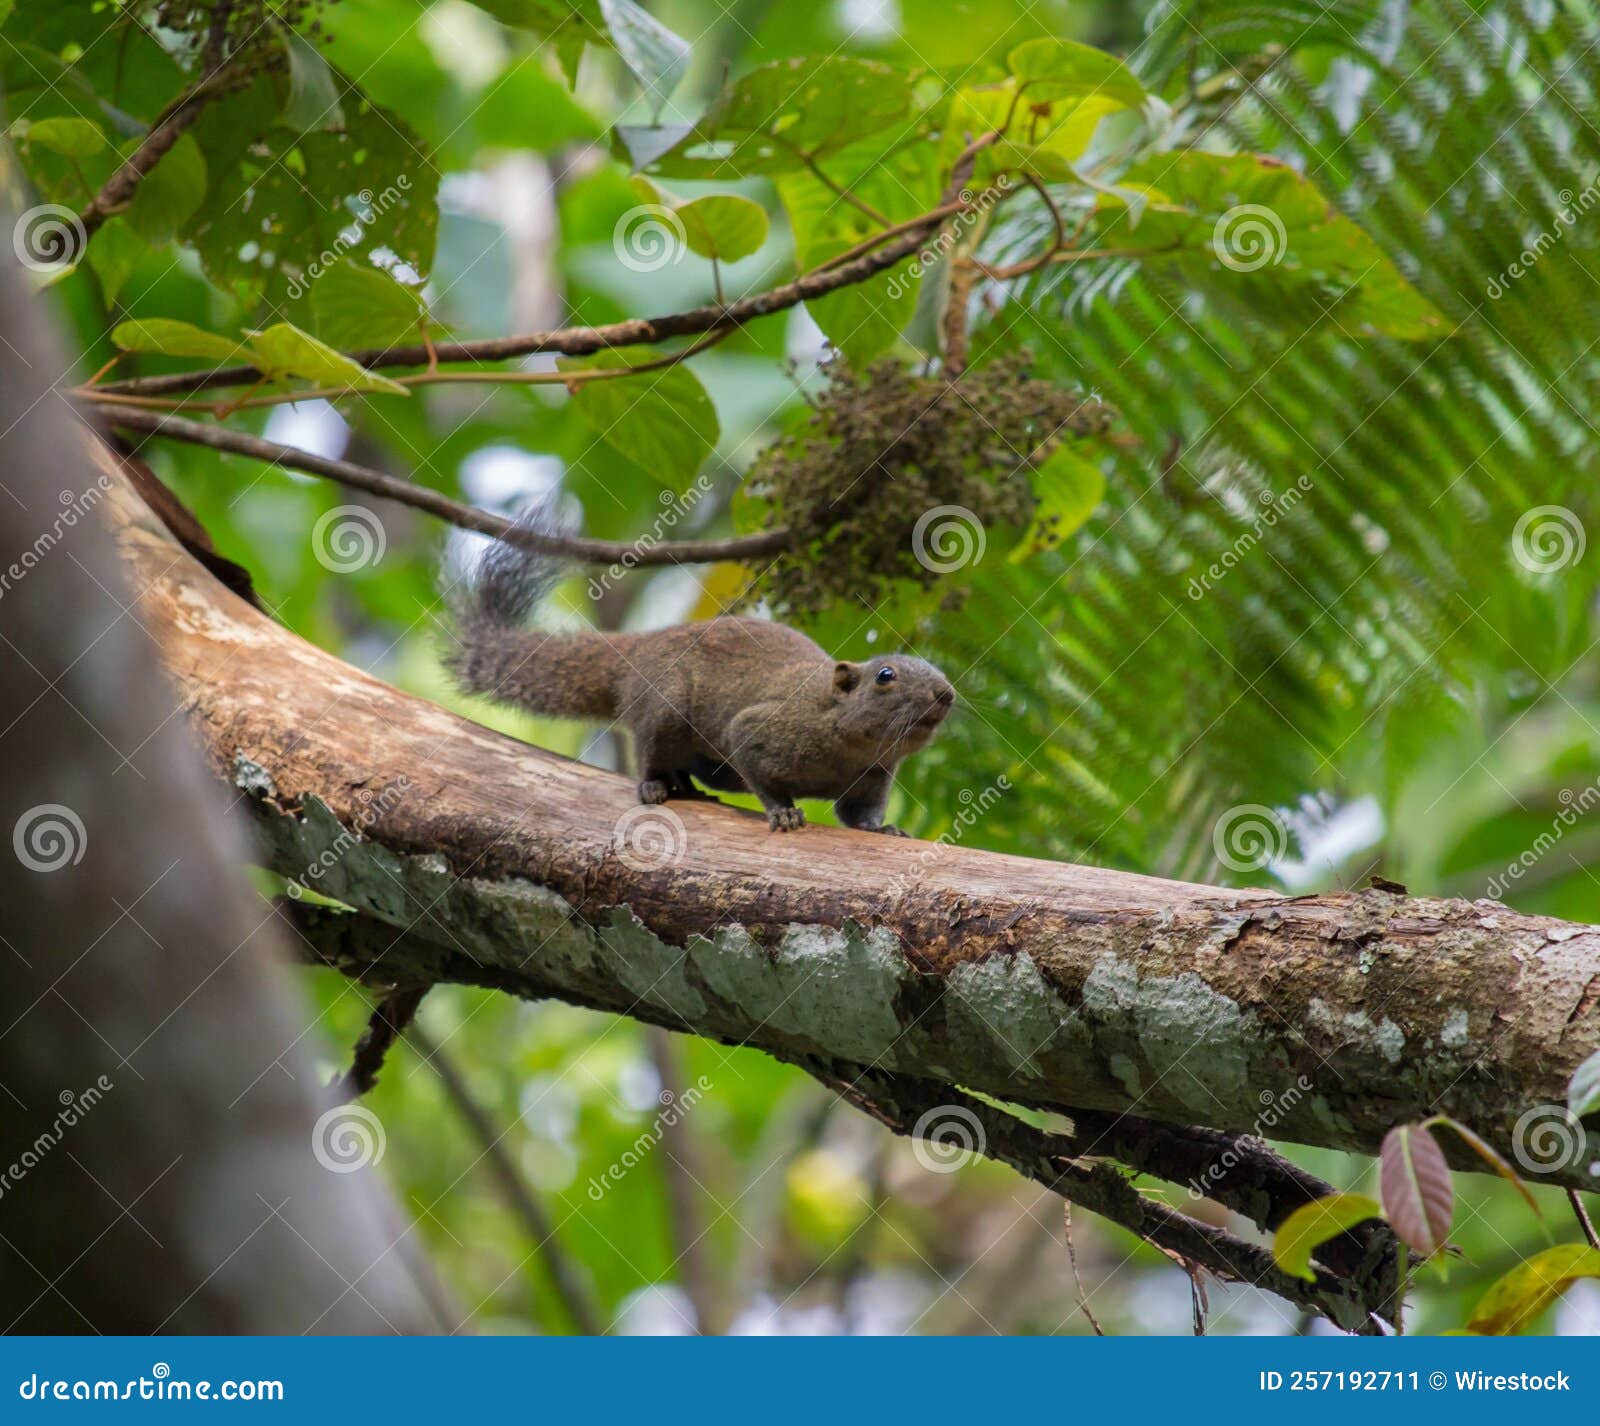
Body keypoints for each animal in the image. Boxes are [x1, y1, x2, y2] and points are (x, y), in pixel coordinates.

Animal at [445, 519, 955, 834]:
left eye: (941, 672)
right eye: (885, 675)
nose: (946, 694)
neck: (846, 738)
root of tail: (639, 650)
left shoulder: (871, 779)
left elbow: (857, 817)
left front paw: (884, 828)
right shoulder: (763, 730)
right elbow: (760, 768)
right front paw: (784, 814)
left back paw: (689, 789)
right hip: (666, 707)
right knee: (651, 753)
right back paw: (656, 786)